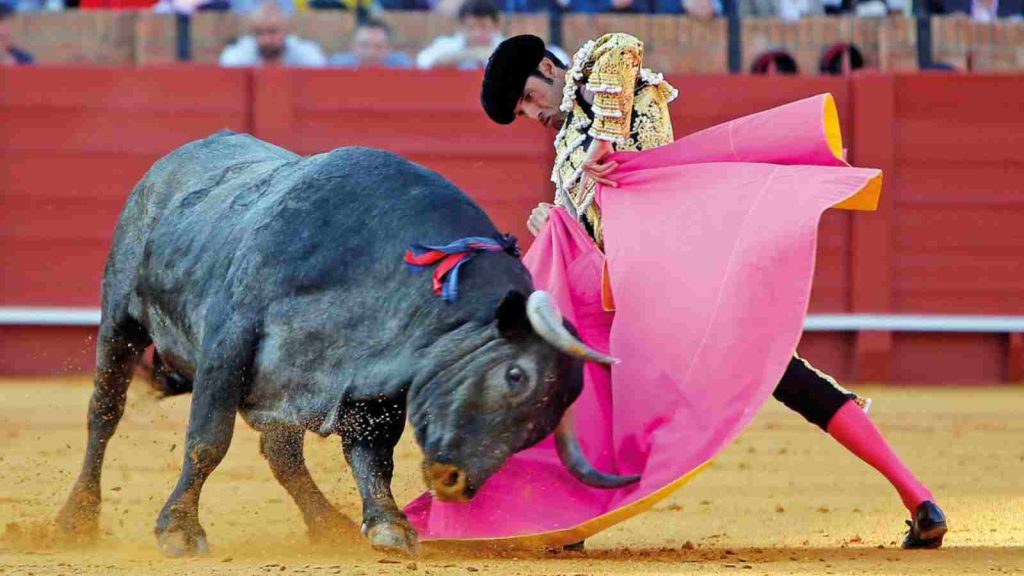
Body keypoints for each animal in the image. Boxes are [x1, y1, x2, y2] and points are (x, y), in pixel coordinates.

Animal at [56, 131, 637, 558]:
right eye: (515, 375)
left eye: (542, 425)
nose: (455, 482)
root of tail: (168, 164)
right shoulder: (229, 340)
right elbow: (207, 440)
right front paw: (178, 530)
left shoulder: (372, 385)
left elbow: (372, 457)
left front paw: (387, 526)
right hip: (121, 319)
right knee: (104, 413)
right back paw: (76, 519)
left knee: (281, 452)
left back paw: (326, 524)